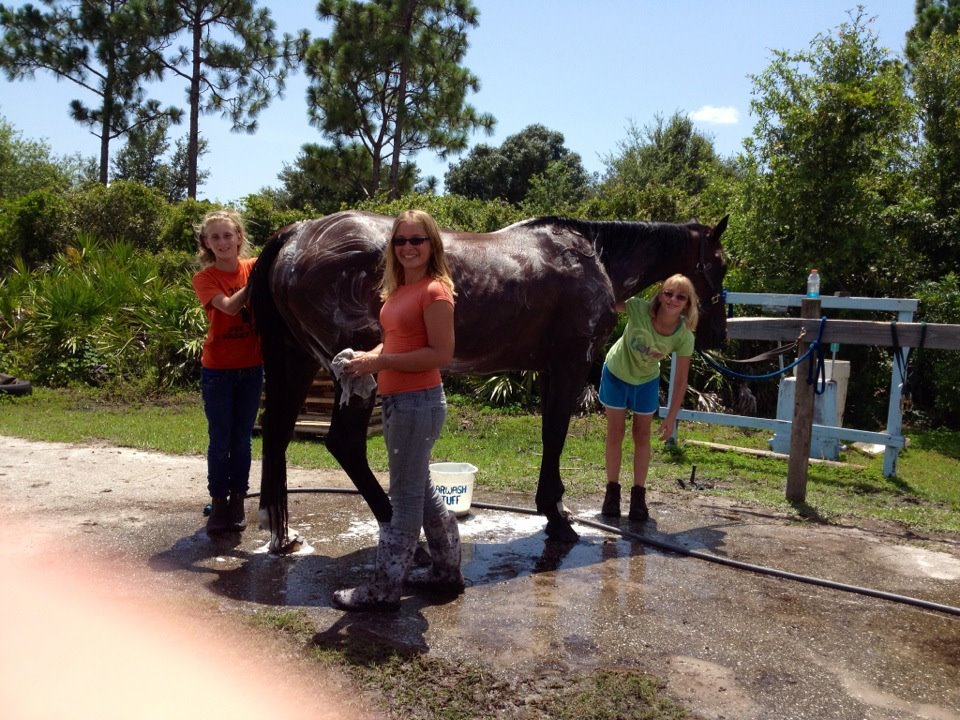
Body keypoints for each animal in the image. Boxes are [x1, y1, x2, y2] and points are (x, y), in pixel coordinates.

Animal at [249, 210, 728, 551]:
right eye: (721, 264)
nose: (717, 335)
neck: (594, 257)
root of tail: (296, 236)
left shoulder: (549, 370)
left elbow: (550, 435)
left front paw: (553, 511)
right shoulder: (570, 365)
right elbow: (555, 435)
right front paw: (557, 519)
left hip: (298, 362)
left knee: (276, 431)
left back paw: (280, 536)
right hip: (356, 369)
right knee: (345, 443)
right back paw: (407, 537)